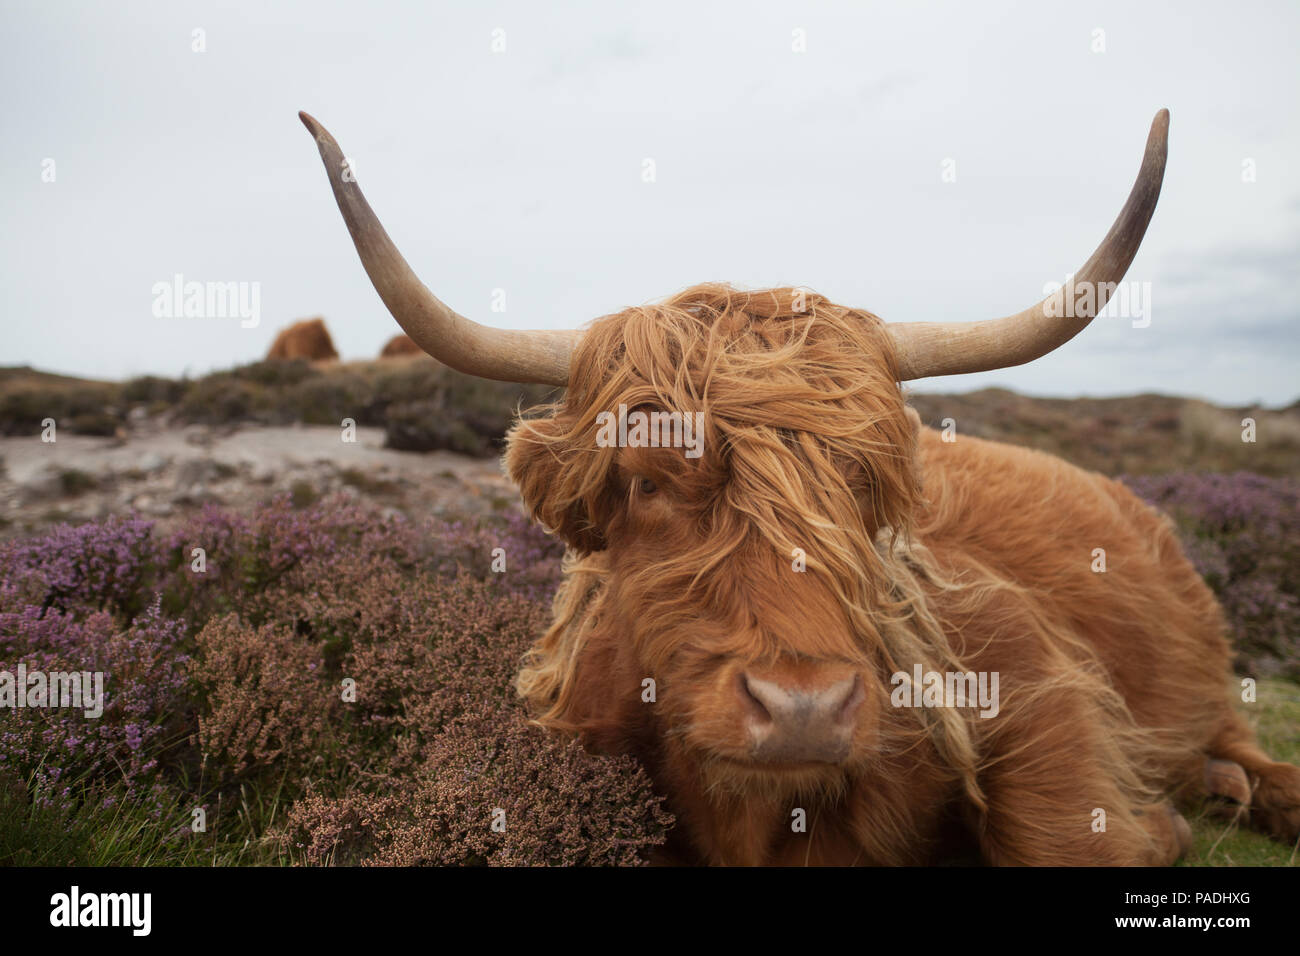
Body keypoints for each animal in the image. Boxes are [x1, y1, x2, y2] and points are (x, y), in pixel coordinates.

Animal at [300, 109, 1300, 865]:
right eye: (646, 483)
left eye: (859, 486)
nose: (802, 712)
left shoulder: (1029, 673)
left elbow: (1061, 835)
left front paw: (1161, 830)